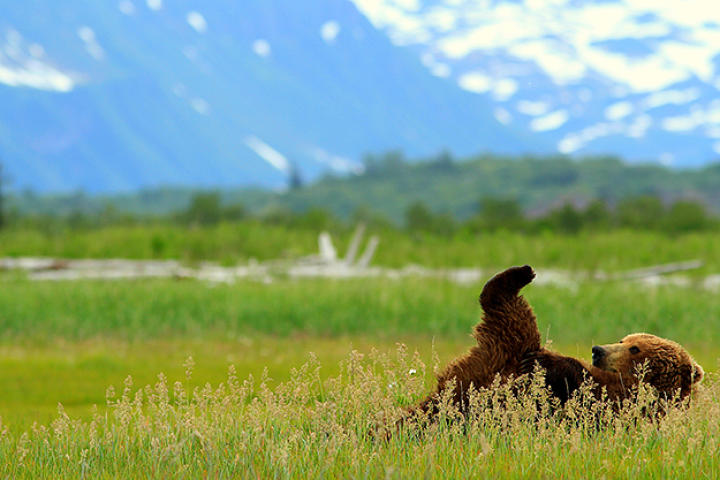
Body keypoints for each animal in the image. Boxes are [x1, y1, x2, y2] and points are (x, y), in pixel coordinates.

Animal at [412, 265, 704, 416]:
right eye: (624, 339)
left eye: (635, 348)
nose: (598, 350)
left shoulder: (622, 402)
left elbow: (583, 388)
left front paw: (550, 364)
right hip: (496, 354)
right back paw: (519, 274)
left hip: (494, 360)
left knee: (510, 315)